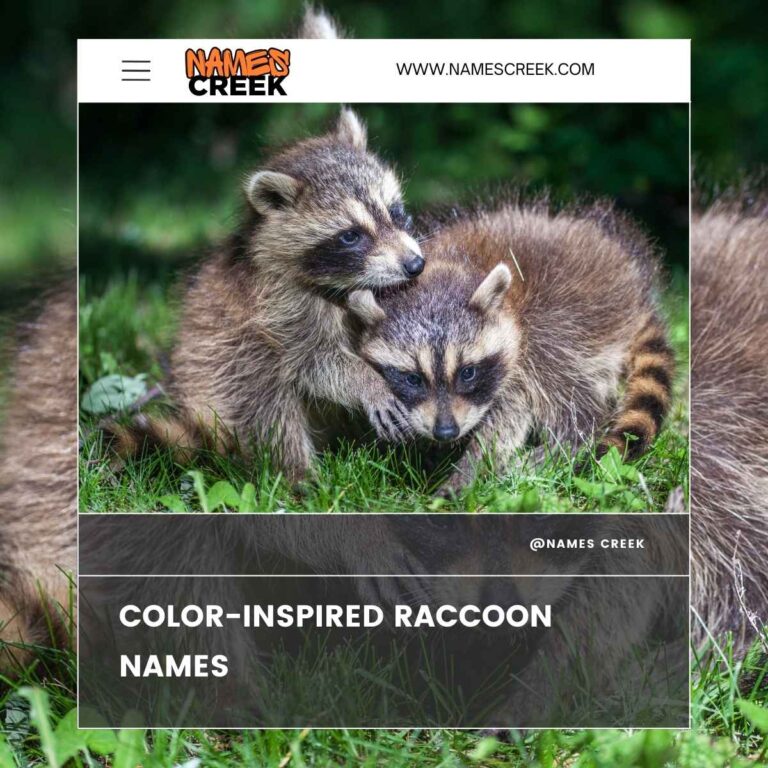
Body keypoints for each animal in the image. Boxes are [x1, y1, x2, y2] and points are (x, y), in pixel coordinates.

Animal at [108, 108, 424, 486]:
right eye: (350, 236)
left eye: (395, 211)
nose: (415, 265)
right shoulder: (279, 305)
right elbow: (312, 362)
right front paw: (367, 381)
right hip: (219, 373)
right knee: (264, 397)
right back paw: (298, 476)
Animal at [349, 200, 674, 492]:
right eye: (412, 379)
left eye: (468, 372)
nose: (446, 432)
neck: (451, 266)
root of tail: (638, 291)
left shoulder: (520, 352)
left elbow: (507, 419)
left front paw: (470, 468)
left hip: (573, 316)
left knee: (569, 392)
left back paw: (565, 445)